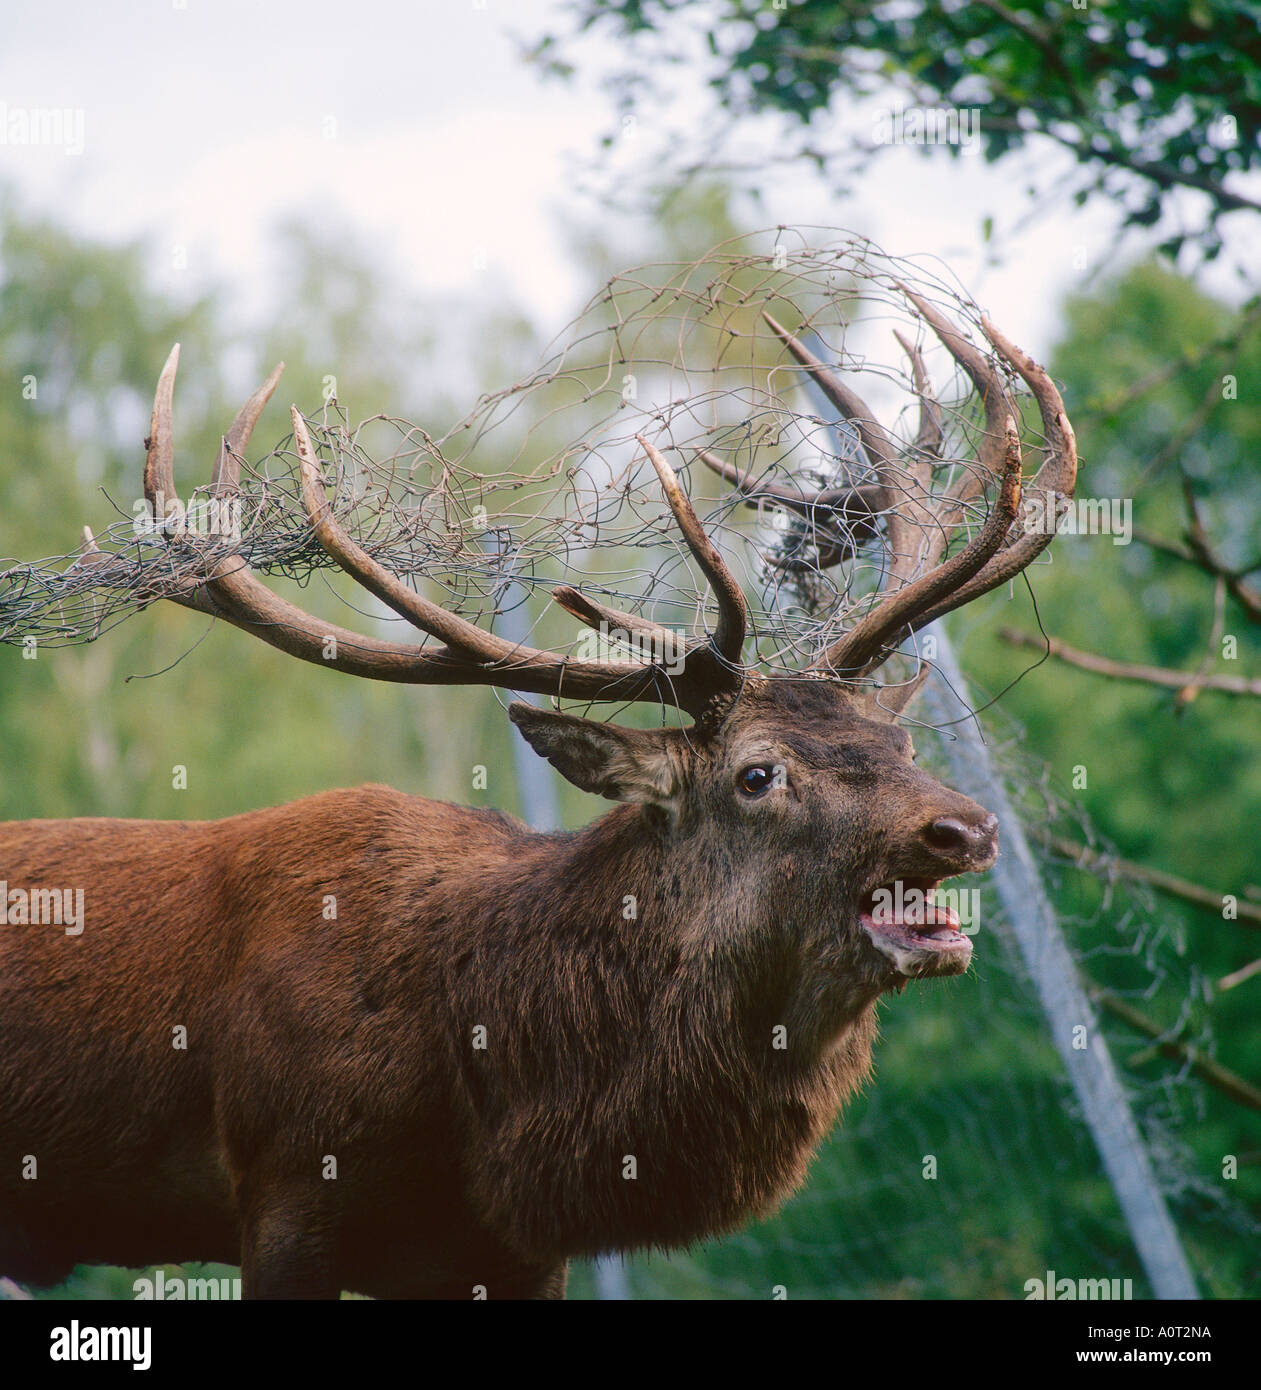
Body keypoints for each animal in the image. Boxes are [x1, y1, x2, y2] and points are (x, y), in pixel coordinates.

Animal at [0, 285, 1075, 1299]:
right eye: (757, 773)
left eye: (897, 738)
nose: (962, 829)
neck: (503, 1102)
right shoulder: (283, 1186)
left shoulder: (517, 1252)